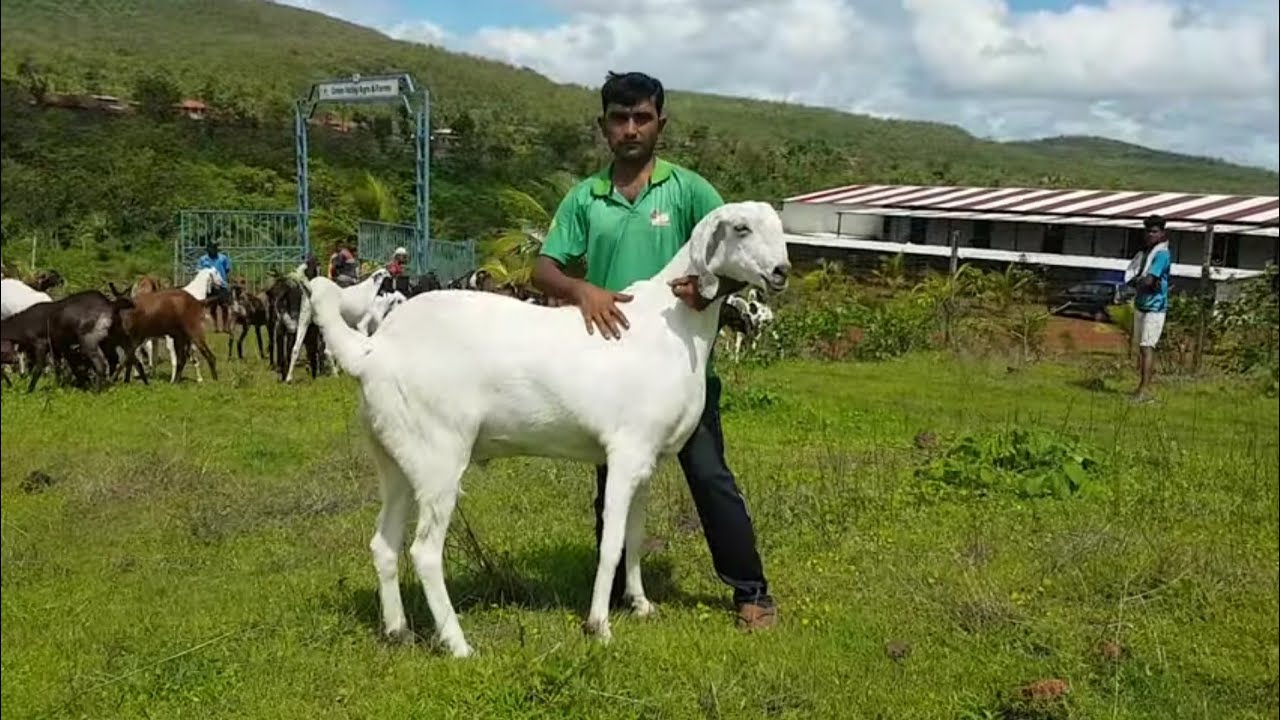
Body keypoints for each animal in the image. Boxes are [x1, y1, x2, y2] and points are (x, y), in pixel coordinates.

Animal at [302, 201, 790, 657]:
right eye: (741, 228)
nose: (782, 271)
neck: (668, 325)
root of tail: (373, 350)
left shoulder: (646, 463)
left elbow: (635, 536)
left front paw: (640, 604)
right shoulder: (626, 452)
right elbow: (611, 542)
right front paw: (599, 625)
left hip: (397, 459)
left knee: (383, 544)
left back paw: (398, 631)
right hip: (439, 455)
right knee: (423, 552)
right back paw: (458, 644)